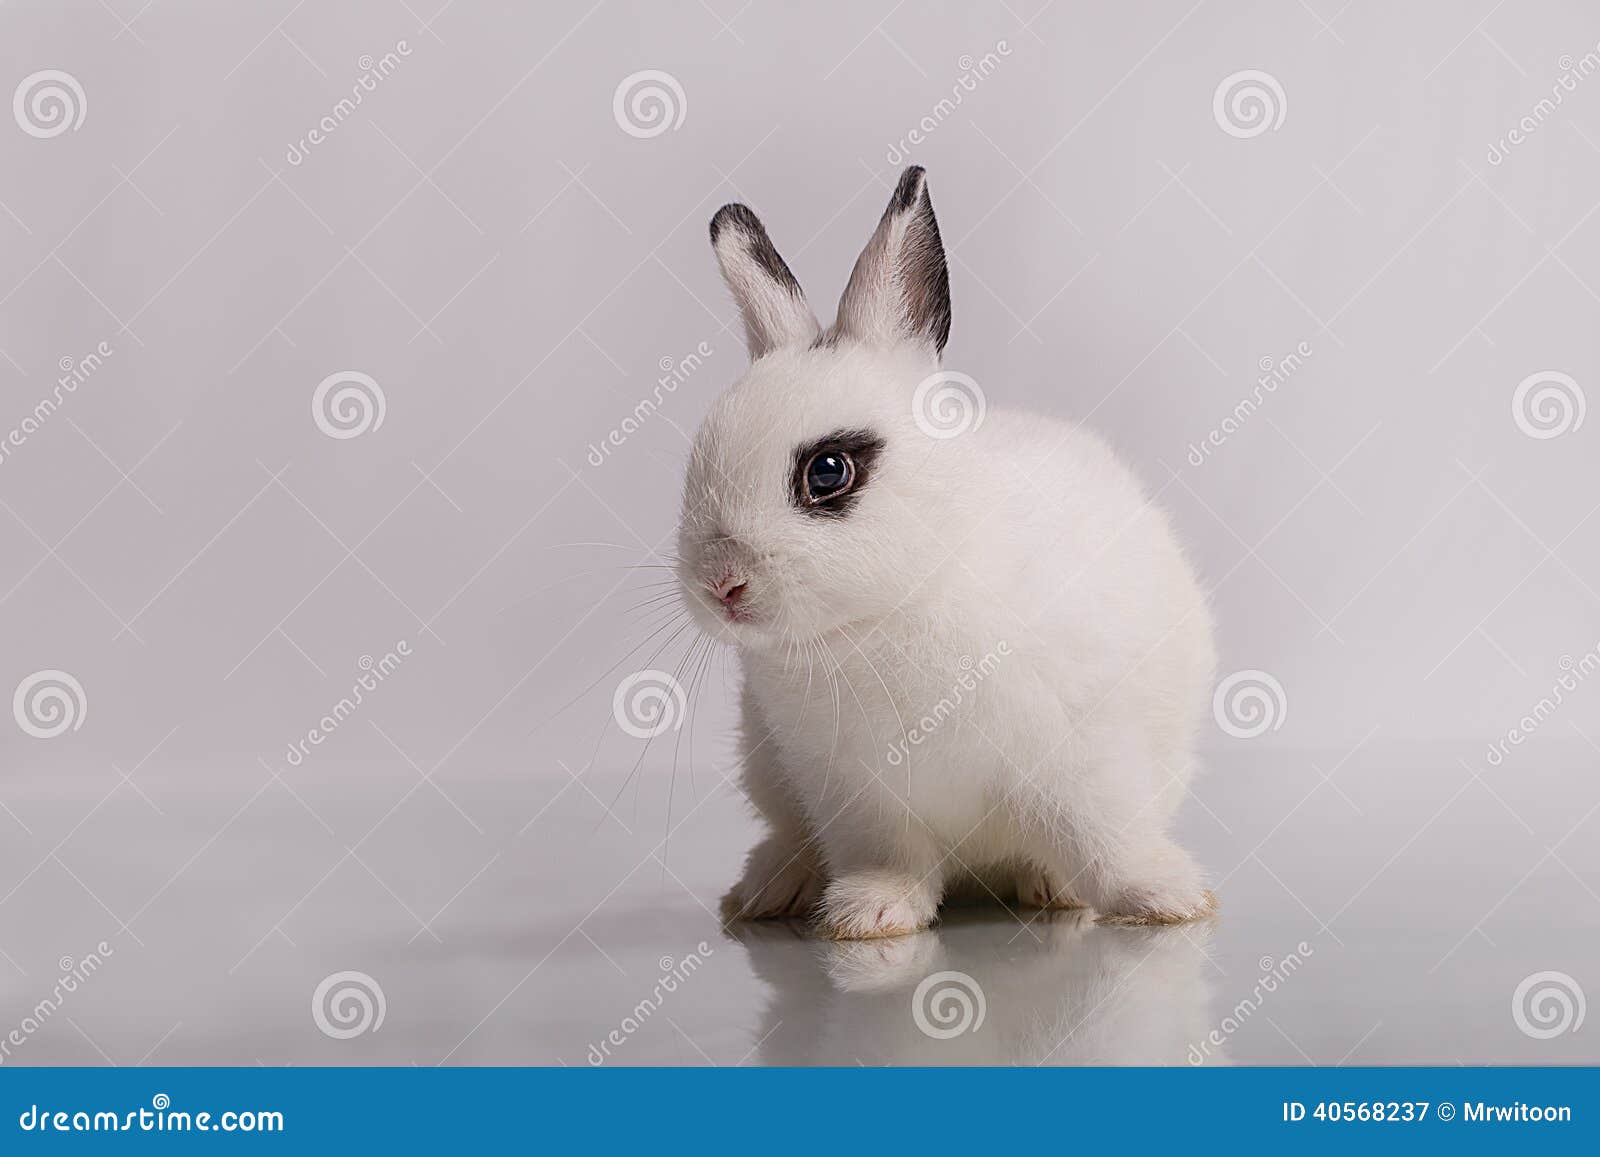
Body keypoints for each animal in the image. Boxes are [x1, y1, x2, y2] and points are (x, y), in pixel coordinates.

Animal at [676, 165, 1217, 940]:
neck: (891, 611)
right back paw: (768, 888)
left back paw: (1052, 887)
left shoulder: (1085, 755)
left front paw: (1166, 900)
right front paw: (870, 913)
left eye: (828, 472)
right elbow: (890, 857)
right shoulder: (856, 794)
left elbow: (1104, 836)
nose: (721, 582)